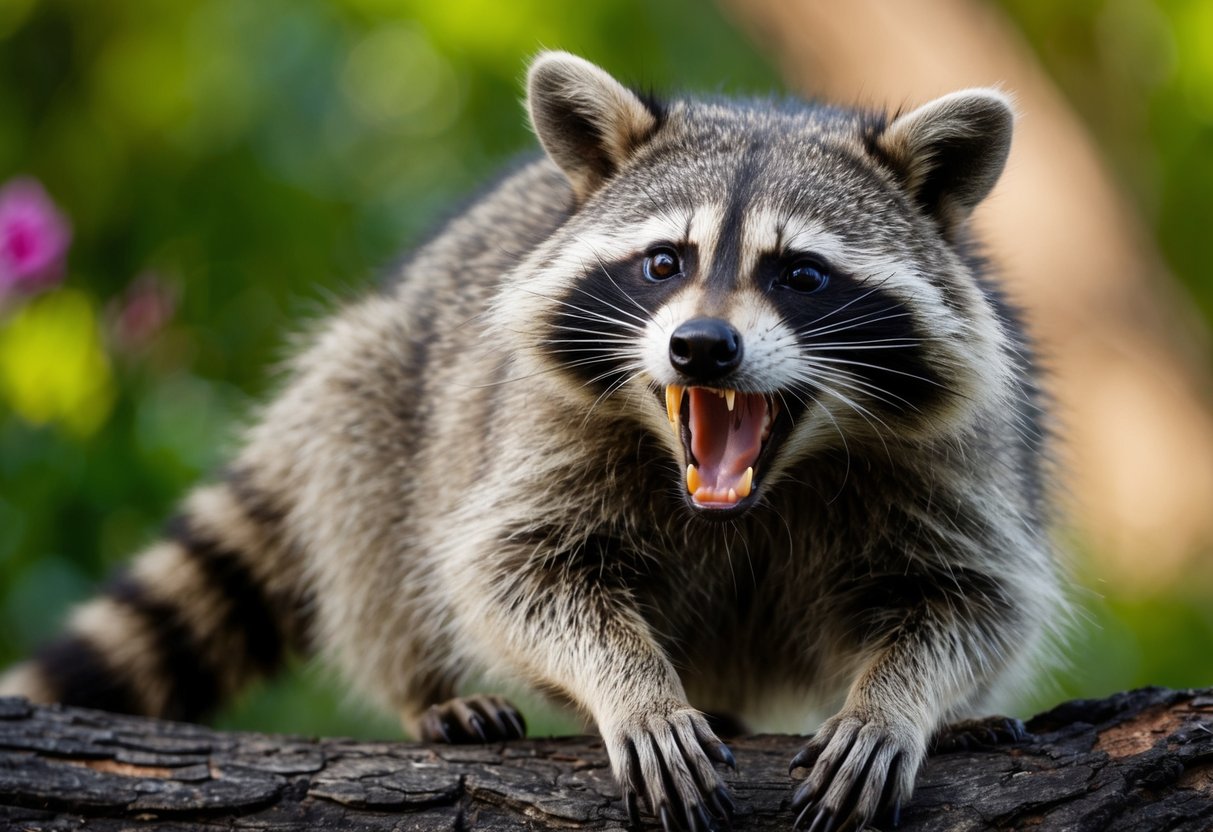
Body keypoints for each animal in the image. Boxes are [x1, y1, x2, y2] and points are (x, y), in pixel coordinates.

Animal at [2, 52, 1063, 831]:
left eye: (799, 274)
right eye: (664, 262)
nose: (700, 347)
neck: (754, 489)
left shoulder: (964, 454)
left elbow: (971, 601)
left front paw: (897, 702)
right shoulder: (537, 426)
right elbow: (515, 576)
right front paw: (632, 687)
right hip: (387, 373)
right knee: (366, 499)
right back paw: (423, 687)